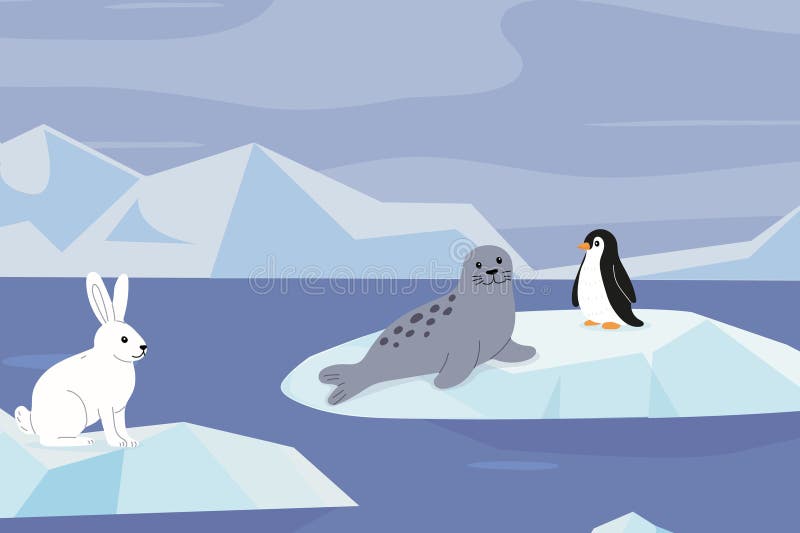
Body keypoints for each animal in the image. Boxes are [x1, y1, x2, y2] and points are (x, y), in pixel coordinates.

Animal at [15, 273, 148, 448]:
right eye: (124, 339)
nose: (144, 347)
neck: (112, 359)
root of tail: (34, 424)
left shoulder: (120, 409)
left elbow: (121, 426)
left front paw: (130, 441)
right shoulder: (105, 407)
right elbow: (110, 426)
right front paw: (117, 443)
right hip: (74, 409)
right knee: (49, 440)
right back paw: (84, 440)